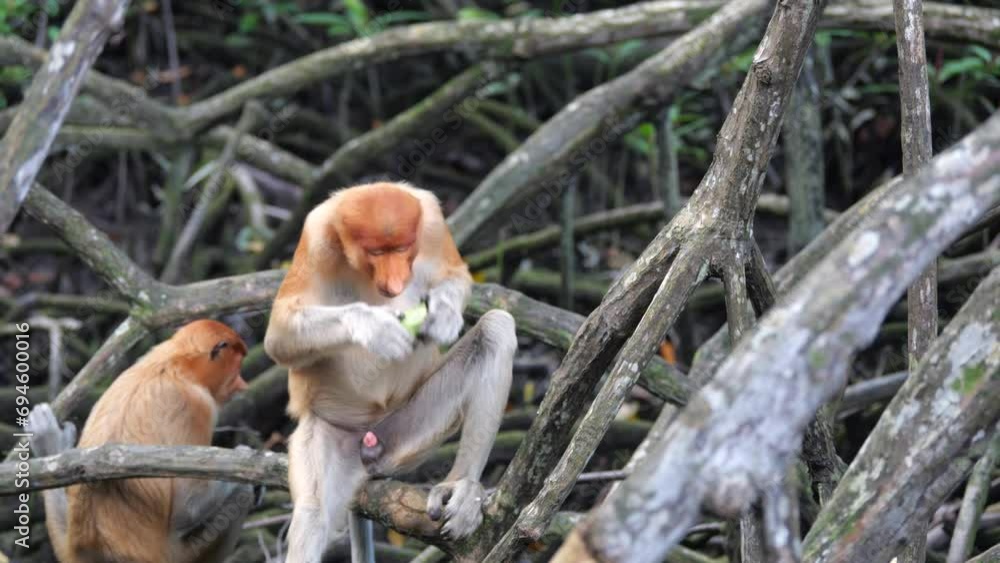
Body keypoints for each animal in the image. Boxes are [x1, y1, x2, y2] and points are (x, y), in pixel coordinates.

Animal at [27, 319, 254, 563]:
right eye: (237, 367)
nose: (242, 385)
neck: (177, 363)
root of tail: (93, 551)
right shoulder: (196, 405)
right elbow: (188, 507)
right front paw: (243, 456)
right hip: (179, 555)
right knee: (240, 494)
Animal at [264, 181, 517, 562]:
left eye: (401, 248)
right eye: (376, 252)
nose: (396, 282)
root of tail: (367, 443)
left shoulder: (432, 222)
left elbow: (456, 276)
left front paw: (443, 316)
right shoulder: (316, 238)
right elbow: (278, 337)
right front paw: (375, 328)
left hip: (406, 431)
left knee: (496, 330)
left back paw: (460, 487)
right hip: (331, 435)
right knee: (312, 516)